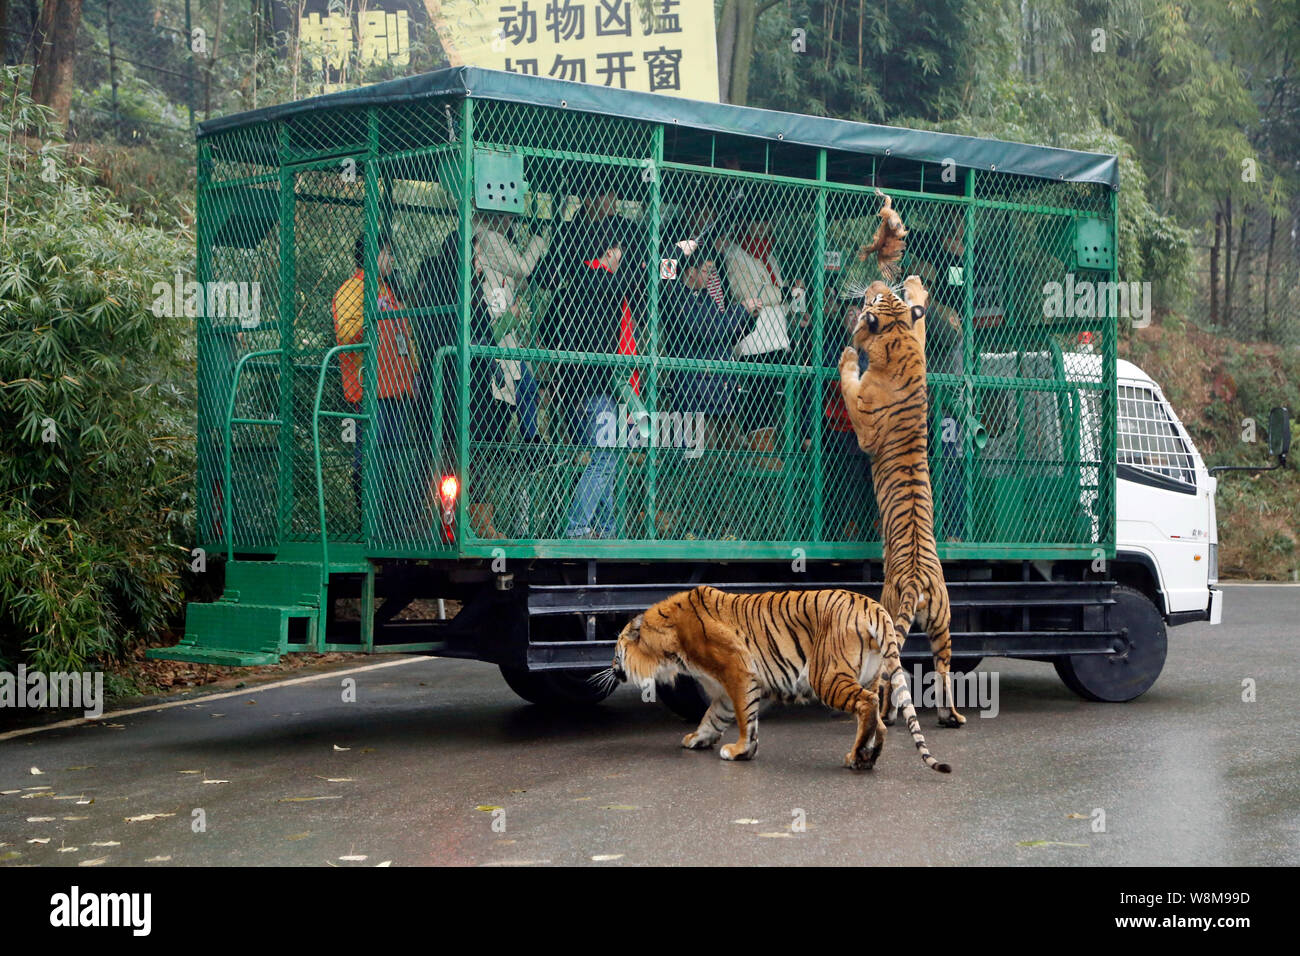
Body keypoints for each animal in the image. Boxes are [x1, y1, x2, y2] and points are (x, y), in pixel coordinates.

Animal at [608, 585, 950, 773]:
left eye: (616, 650)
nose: (611, 667)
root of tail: (873, 605)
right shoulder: (724, 691)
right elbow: (713, 717)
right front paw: (698, 739)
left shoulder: (737, 672)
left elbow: (745, 718)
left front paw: (739, 751)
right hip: (869, 676)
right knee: (878, 717)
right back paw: (866, 757)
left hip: (826, 675)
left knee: (867, 705)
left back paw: (857, 757)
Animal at [838, 272, 966, 728]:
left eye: (874, 298)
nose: (876, 280)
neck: (895, 335)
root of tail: (917, 583)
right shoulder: (919, 340)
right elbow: (923, 322)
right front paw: (916, 285)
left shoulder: (862, 420)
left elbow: (848, 380)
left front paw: (847, 349)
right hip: (945, 621)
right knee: (943, 669)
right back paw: (952, 717)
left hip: (889, 611)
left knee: (886, 676)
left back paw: (887, 714)